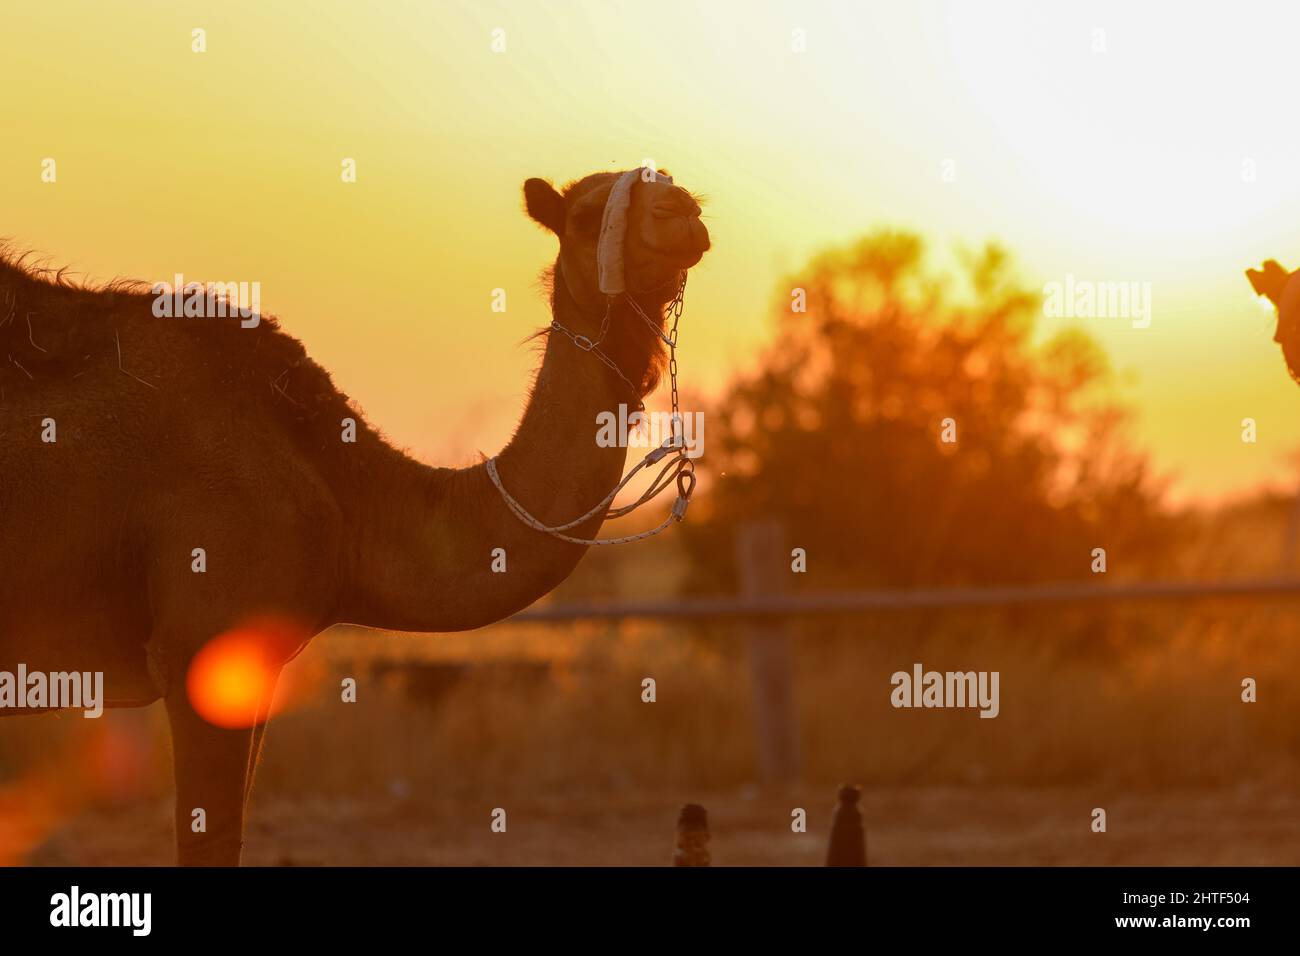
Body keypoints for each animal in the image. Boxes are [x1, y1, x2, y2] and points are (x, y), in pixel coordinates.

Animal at [0, 167, 710, 865]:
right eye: (589, 216)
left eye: (674, 183)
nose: (683, 212)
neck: (339, 487)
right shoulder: (201, 644)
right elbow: (210, 841)